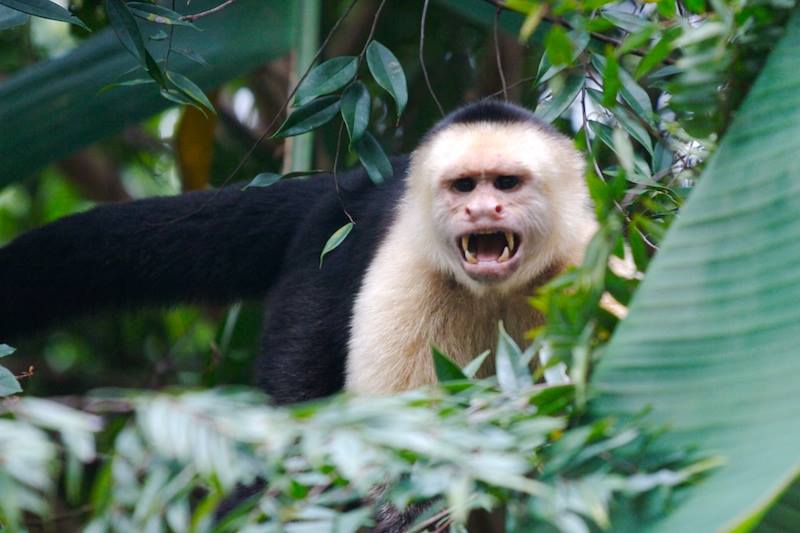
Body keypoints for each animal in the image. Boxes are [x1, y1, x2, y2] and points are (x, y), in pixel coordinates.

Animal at [0, 100, 596, 405]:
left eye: (507, 184)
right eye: (464, 187)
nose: (481, 210)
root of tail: (343, 187)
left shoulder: (580, 261)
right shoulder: (409, 277)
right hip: (320, 258)